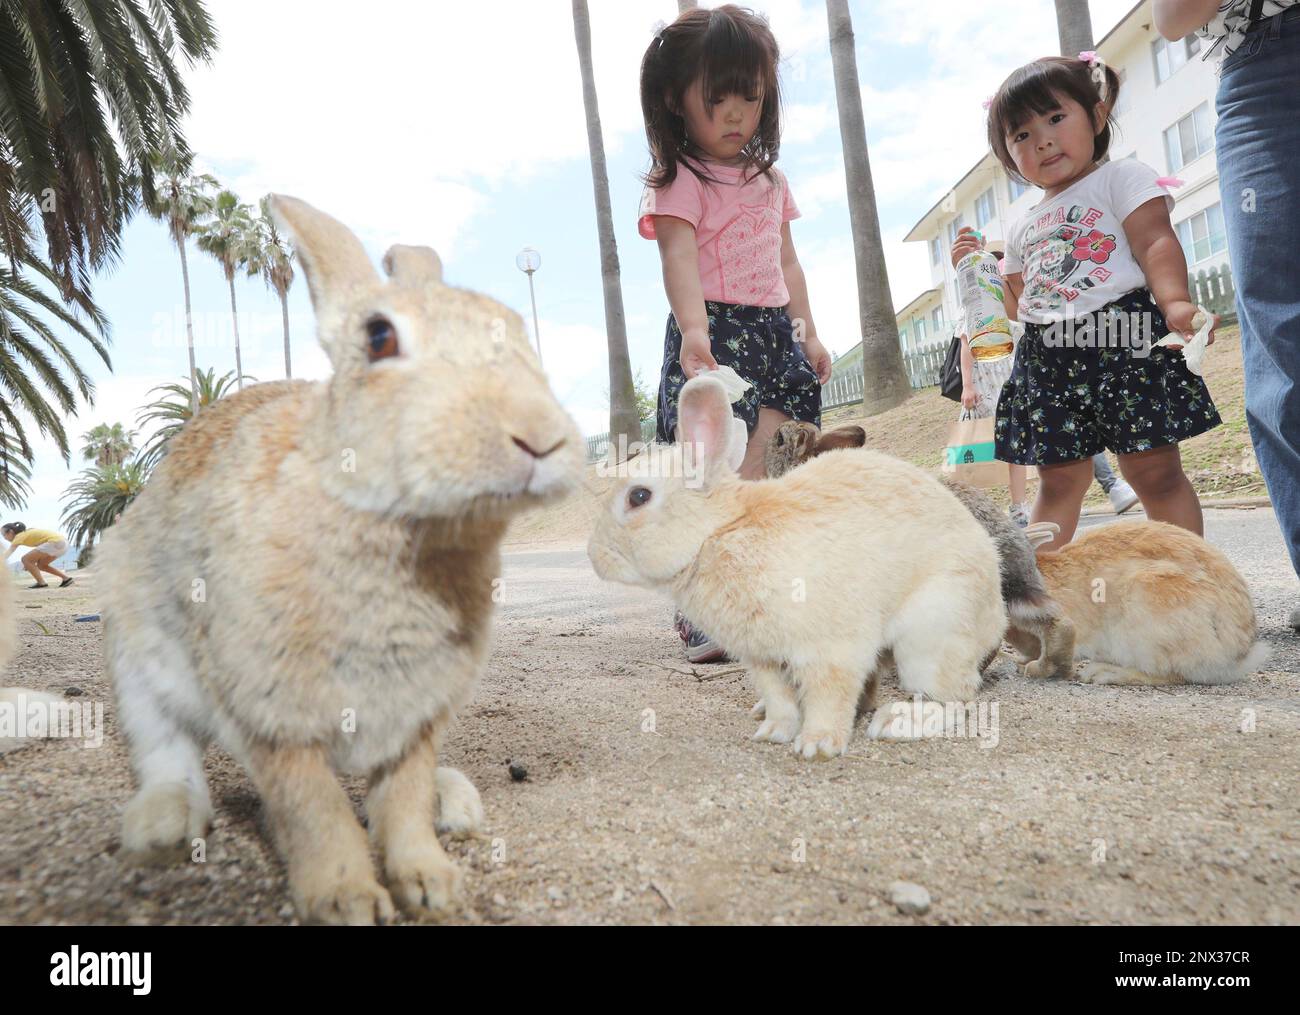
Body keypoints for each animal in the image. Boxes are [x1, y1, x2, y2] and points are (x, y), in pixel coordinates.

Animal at [98, 195, 585, 925]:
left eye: (519, 329)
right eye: (378, 338)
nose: (541, 437)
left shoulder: (416, 713)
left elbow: (401, 799)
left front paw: (430, 884)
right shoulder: (272, 711)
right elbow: (314, 806)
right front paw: (346, 898)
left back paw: (454, 802)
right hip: (138, 657)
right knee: (165, 745)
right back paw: (161, 823)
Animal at [588, 374, 1007, 759]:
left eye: (639, 496)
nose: (594, 557)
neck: (717, 532)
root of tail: (996, 617)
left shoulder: (832, 649)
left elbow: (829, 696)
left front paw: (817, 745)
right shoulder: (764, 661)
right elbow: (779, 699)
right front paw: (774, 732)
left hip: (929, 636)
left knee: (955, 699)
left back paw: (897, 721)